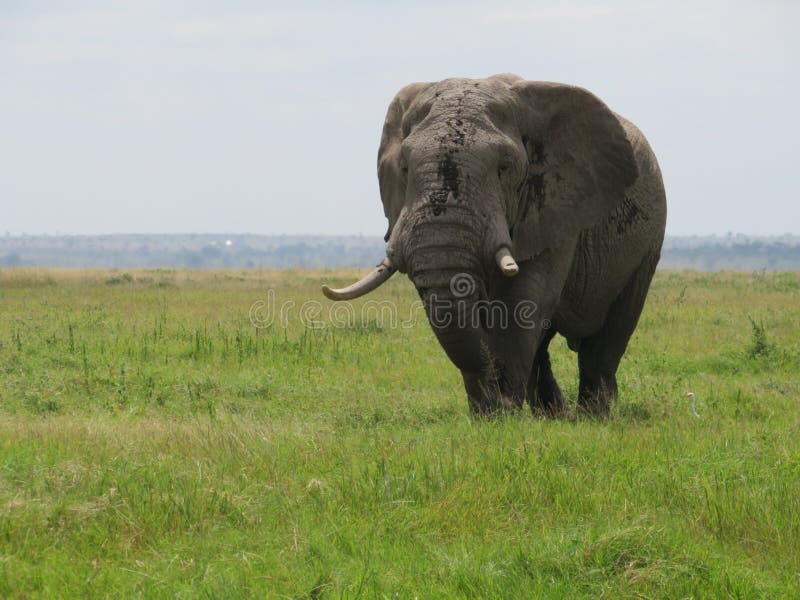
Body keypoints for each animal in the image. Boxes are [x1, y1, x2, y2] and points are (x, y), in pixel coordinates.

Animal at [323, 74, 666, 417]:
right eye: (405, 167)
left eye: (504, 167)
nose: (494, 400)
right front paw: (491, 414)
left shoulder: (556, 207)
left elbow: (523, 301)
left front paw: (502, 415)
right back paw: (554, 416)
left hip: (649, 241)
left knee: (608, 337)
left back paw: (591, 415)